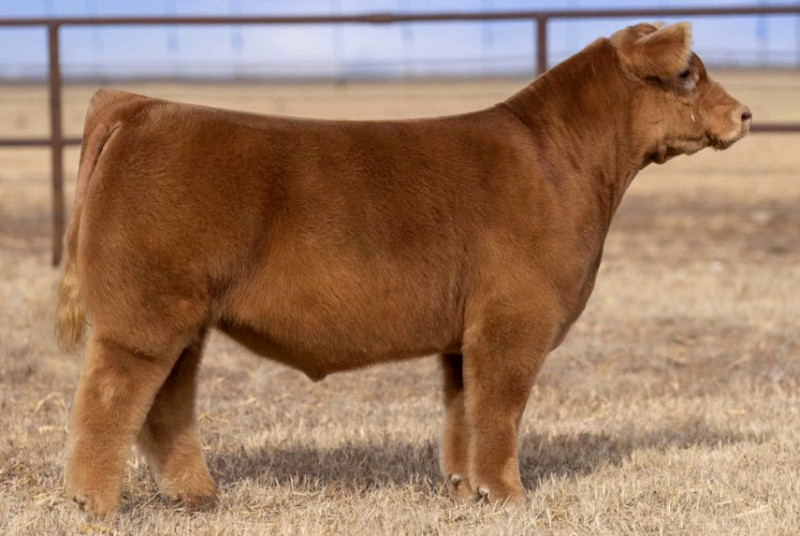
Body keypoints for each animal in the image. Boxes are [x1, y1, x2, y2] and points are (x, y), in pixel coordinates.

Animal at [56, 22, 751, 518]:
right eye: (686, 74)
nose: (744, 114)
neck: (566, 163)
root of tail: (142, 105)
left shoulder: (465, 335)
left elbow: (463, 409)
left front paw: (465, 489)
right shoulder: (514, 321)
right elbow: (500, 408)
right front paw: (508, 496)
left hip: (184, 319)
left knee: (166, 405)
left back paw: (198, 498)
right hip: (145, 314)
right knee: (111, 397)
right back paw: (94, 505)